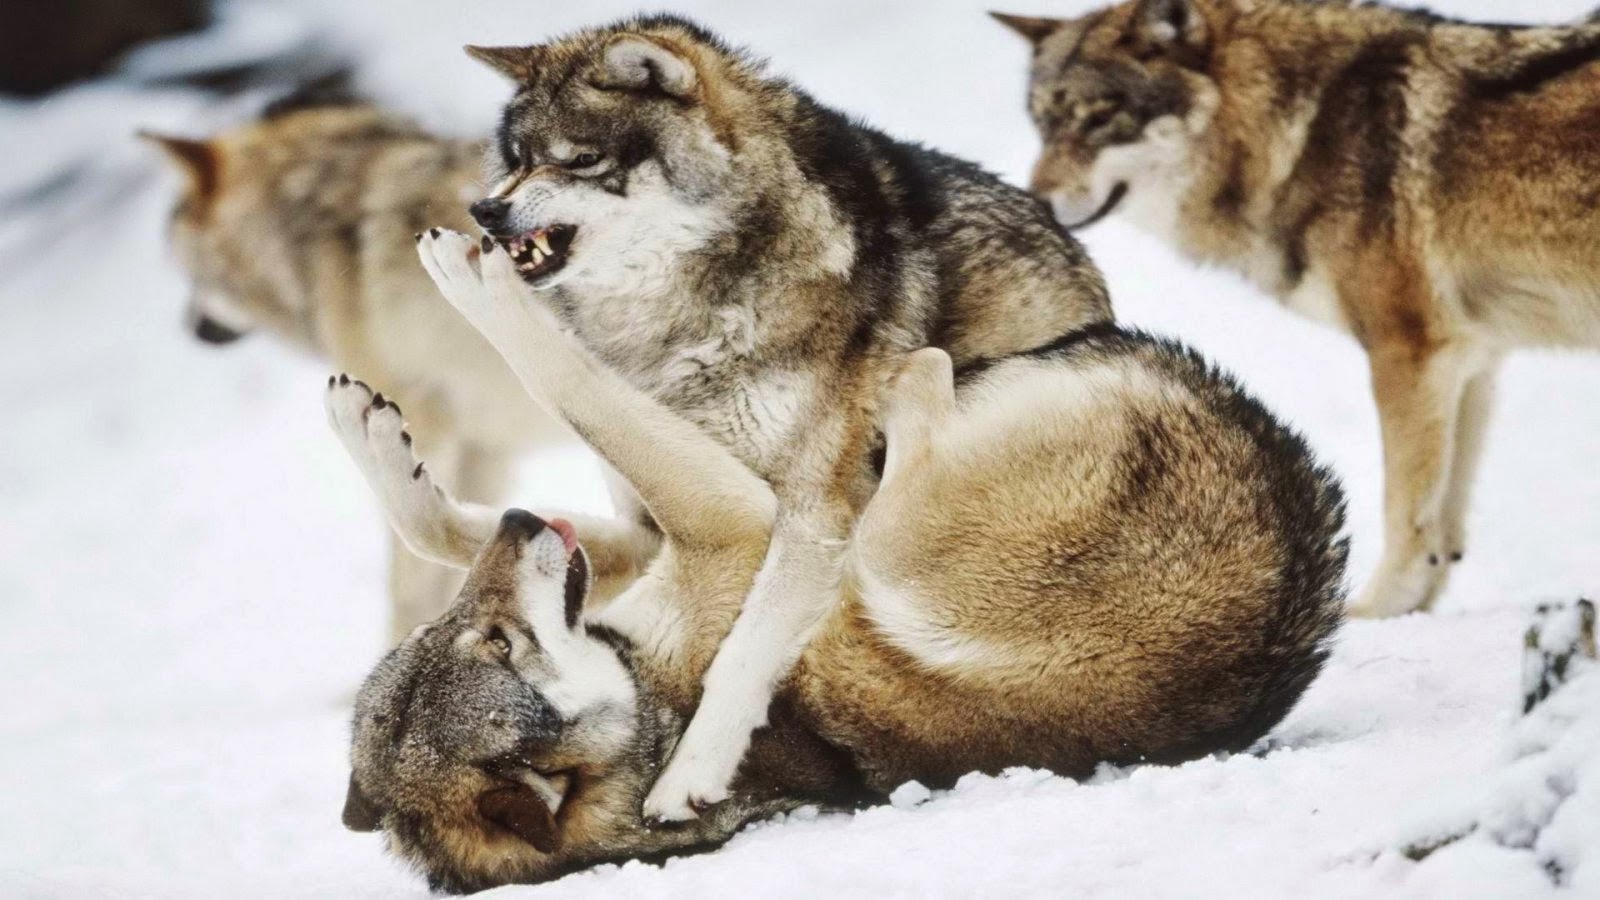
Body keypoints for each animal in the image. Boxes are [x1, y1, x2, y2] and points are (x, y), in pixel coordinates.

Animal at [325, 229, 1346, 889]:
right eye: (496, 643)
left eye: (466, 629)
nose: (521, 523)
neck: (645, 697)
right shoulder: (737, 522)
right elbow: (571, 383)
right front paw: (480, 287)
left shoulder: (689, 535)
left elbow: (441, 524)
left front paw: (373, 432)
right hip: (890, 541)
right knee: (916, 405)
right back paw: (903, 386)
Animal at [453, 15, 1116, 820]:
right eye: (516, 161)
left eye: (579, 160)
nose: (485, 210)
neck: (677, 322)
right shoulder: (654, 514)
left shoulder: (812, 515)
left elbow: (741, 651)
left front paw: (686, 778)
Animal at [995, 0, 1600, 618]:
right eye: (1043, 124)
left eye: (1102, 117)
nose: (1034, 201)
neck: (1300, 130)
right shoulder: (1474, 358)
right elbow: (1444, 528)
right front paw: (1412, 617)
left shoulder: (1409, 353)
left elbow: (1407, 516)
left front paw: (1371, 616)